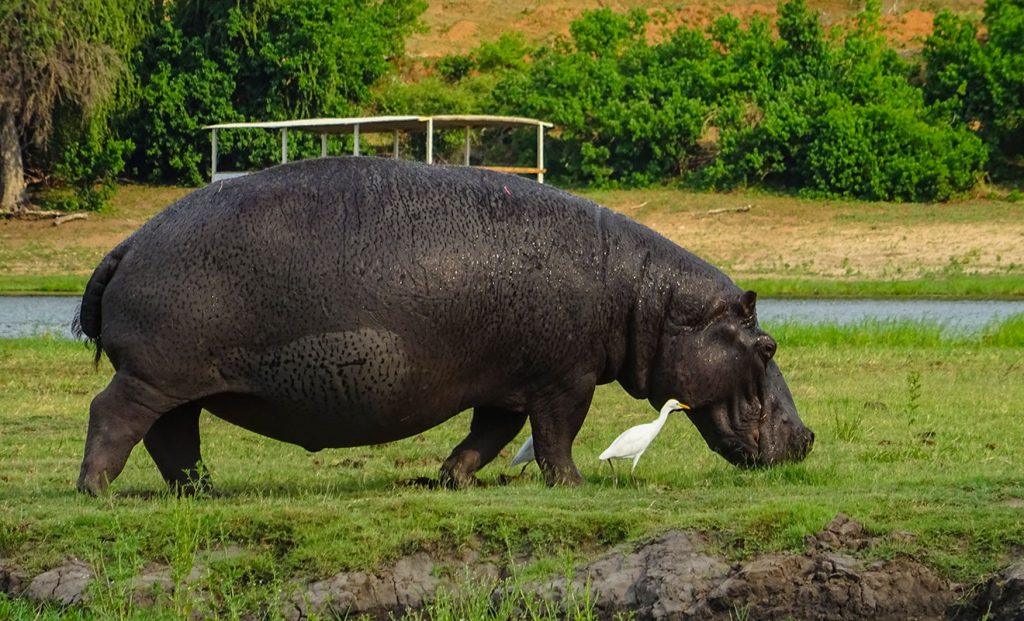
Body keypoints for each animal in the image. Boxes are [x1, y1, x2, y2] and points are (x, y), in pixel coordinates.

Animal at [74, 156, 813, 494]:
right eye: (768, 342)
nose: (806, 436)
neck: (648, 300)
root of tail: (127, 243)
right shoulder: (564, 380)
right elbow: (557, 435)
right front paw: (573, 486)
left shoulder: (509, 381)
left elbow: (489, 434)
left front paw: (452, 479)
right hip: (154, 372)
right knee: (112, 414)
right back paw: (97, 490)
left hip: (179, 382)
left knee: (174, 438)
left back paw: (204, 491)